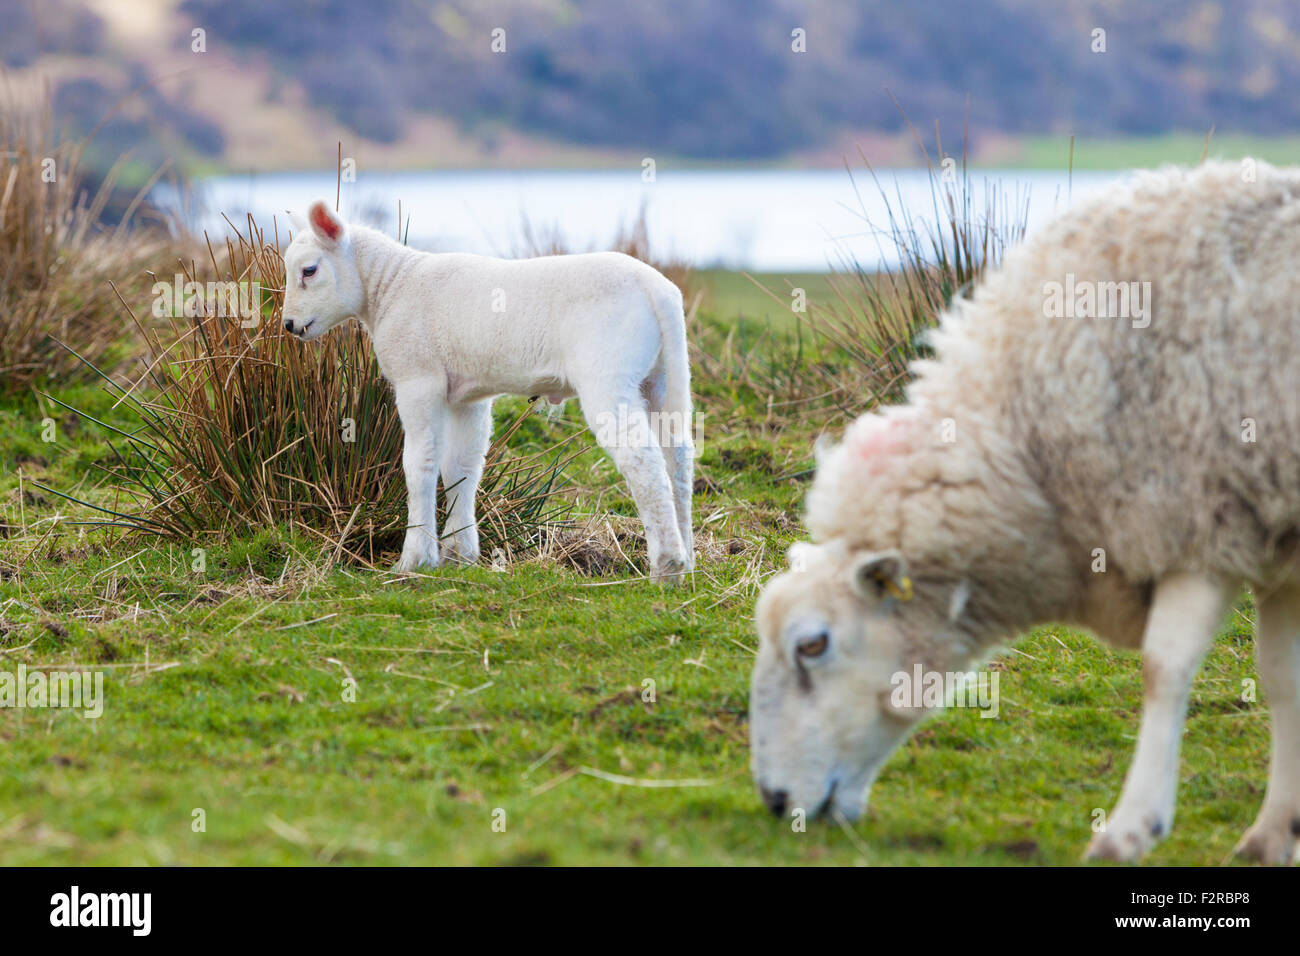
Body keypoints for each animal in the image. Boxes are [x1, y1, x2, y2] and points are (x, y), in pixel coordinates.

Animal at [281, 201, 694, 582]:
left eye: (309, 270)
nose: (289, 325)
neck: (392, 285)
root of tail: (656, 289)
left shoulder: (419, 380)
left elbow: (419, 465)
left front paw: (415, 559)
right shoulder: (467, 395)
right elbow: (461, 466)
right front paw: (459, 554)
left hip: (608, 374)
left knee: (644, 461)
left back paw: (666, 567)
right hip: (660, 376)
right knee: (679, 459)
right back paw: (687, 560)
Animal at [750, 160, 1300, 864]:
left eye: (813, 645)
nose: (774, 803)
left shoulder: (1195, 516)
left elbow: (1163, 668)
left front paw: (1130, 828)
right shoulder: (1269, 536)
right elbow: (1281, 680)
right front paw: (1273, 833)